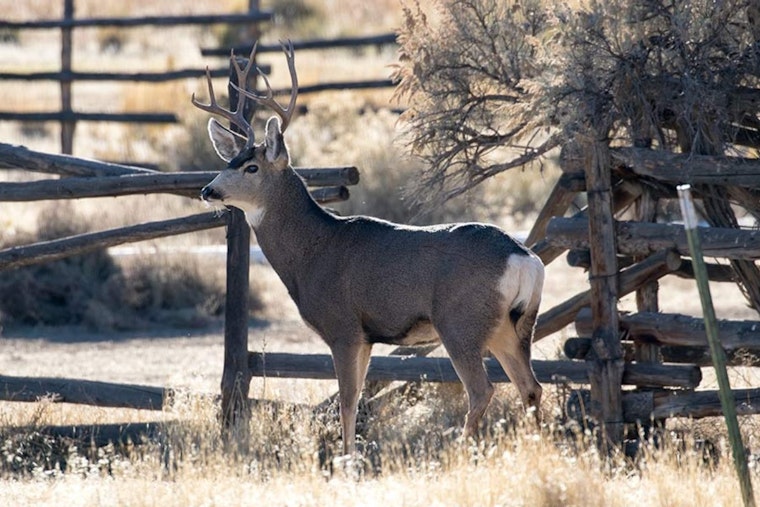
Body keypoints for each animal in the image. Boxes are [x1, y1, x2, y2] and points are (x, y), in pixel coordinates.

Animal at [193, 41, 545, 457]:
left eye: (251, 168)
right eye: (229, 160)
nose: (208, 190)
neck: (313, 253)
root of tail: (524, 258)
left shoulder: (344, 326)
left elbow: (347, 400)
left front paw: (347, 459)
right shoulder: (366, 336)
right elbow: (357, 397)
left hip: (461, 322)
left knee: (482, 390)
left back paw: (463, 452)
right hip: (514, 325)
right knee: (531, 386)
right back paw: (543, 448)